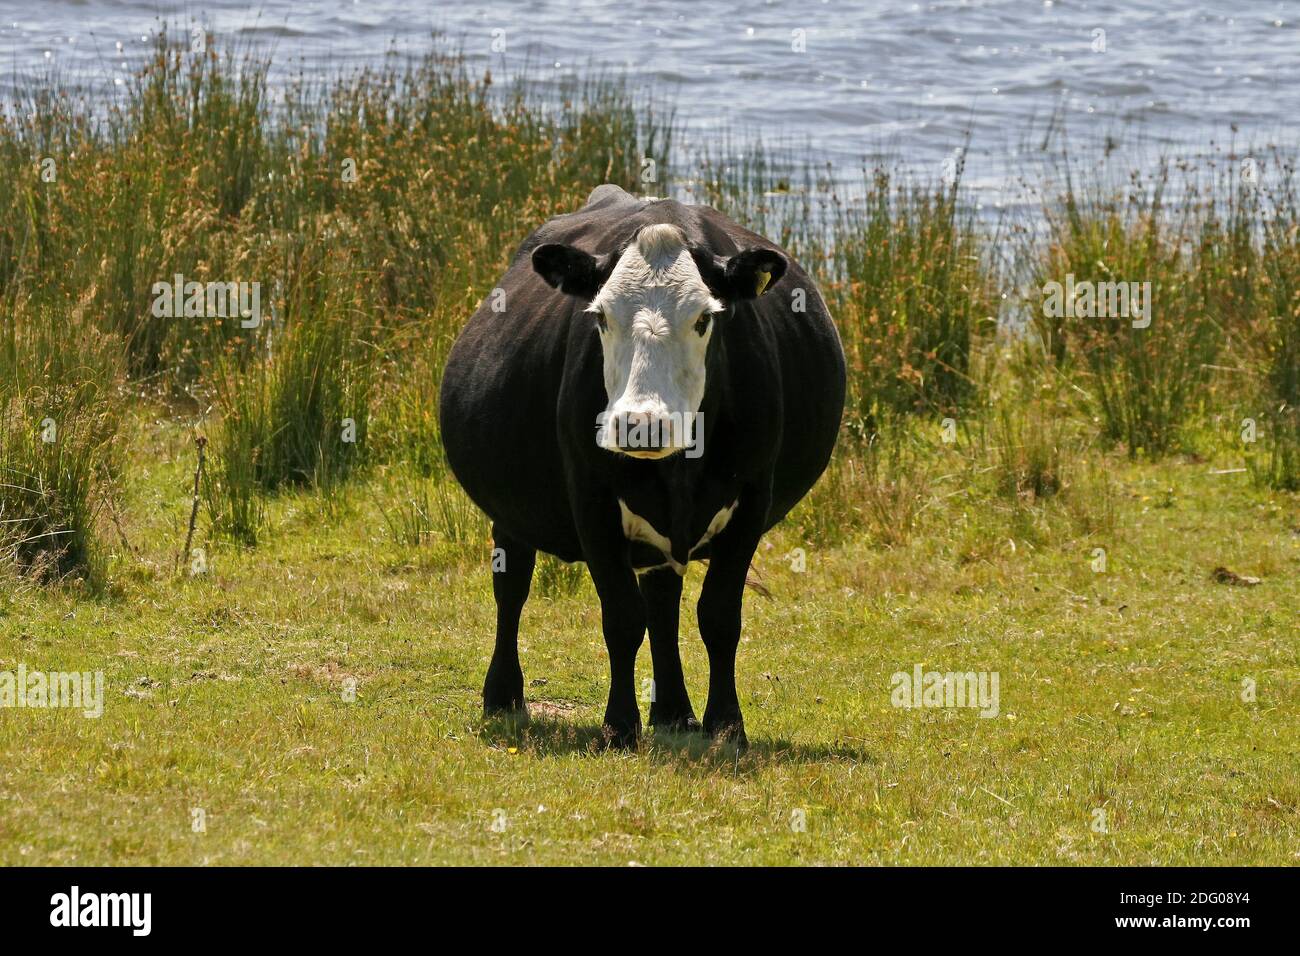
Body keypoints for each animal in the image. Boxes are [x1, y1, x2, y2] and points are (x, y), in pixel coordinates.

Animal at [439, 184, 846, 749]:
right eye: (600, 316)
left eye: (705, 318)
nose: (641, 424)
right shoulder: (590, 498)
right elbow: (622, 617)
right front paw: (619, 725)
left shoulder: (752, 498)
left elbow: (718, 616)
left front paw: (727, 725)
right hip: (510, 512)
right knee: (512, 588)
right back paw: (503, 696)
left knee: (662, 598)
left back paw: (674, 710)